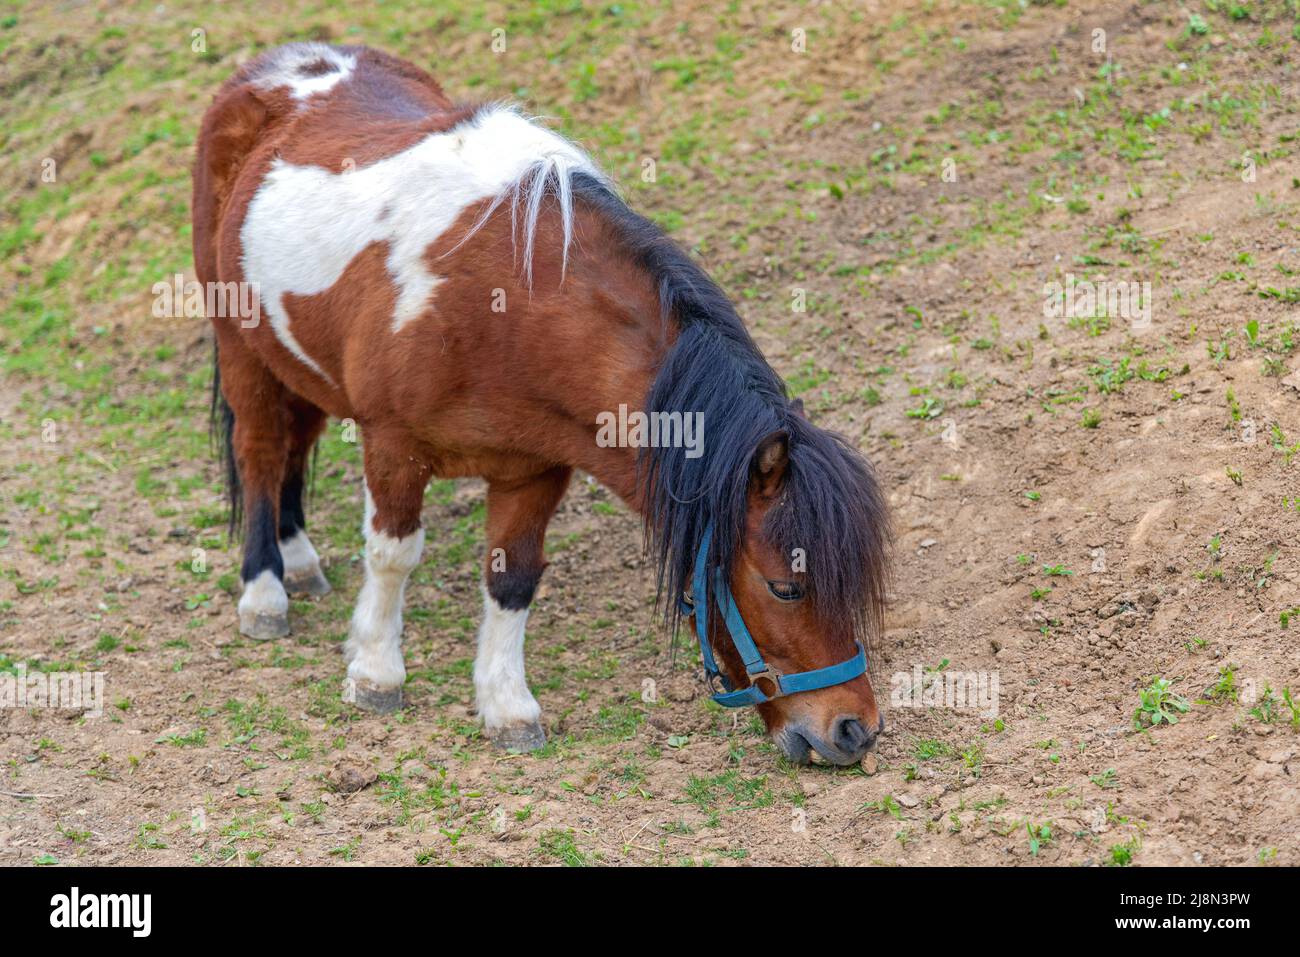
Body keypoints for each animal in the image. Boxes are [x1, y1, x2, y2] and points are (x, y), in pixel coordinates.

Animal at [192, 43, 890, 765]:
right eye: (786, 586)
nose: (854, 729)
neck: (502, 311)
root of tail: (280, 63)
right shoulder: (393, 446)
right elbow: (392, 555)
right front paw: (376, 672)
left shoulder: (535, 468)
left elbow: (514, 579)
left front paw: (507, 706)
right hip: (242, 348)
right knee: (261, 453)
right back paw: (266, 591)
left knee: (295, 441)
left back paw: (298, 559)